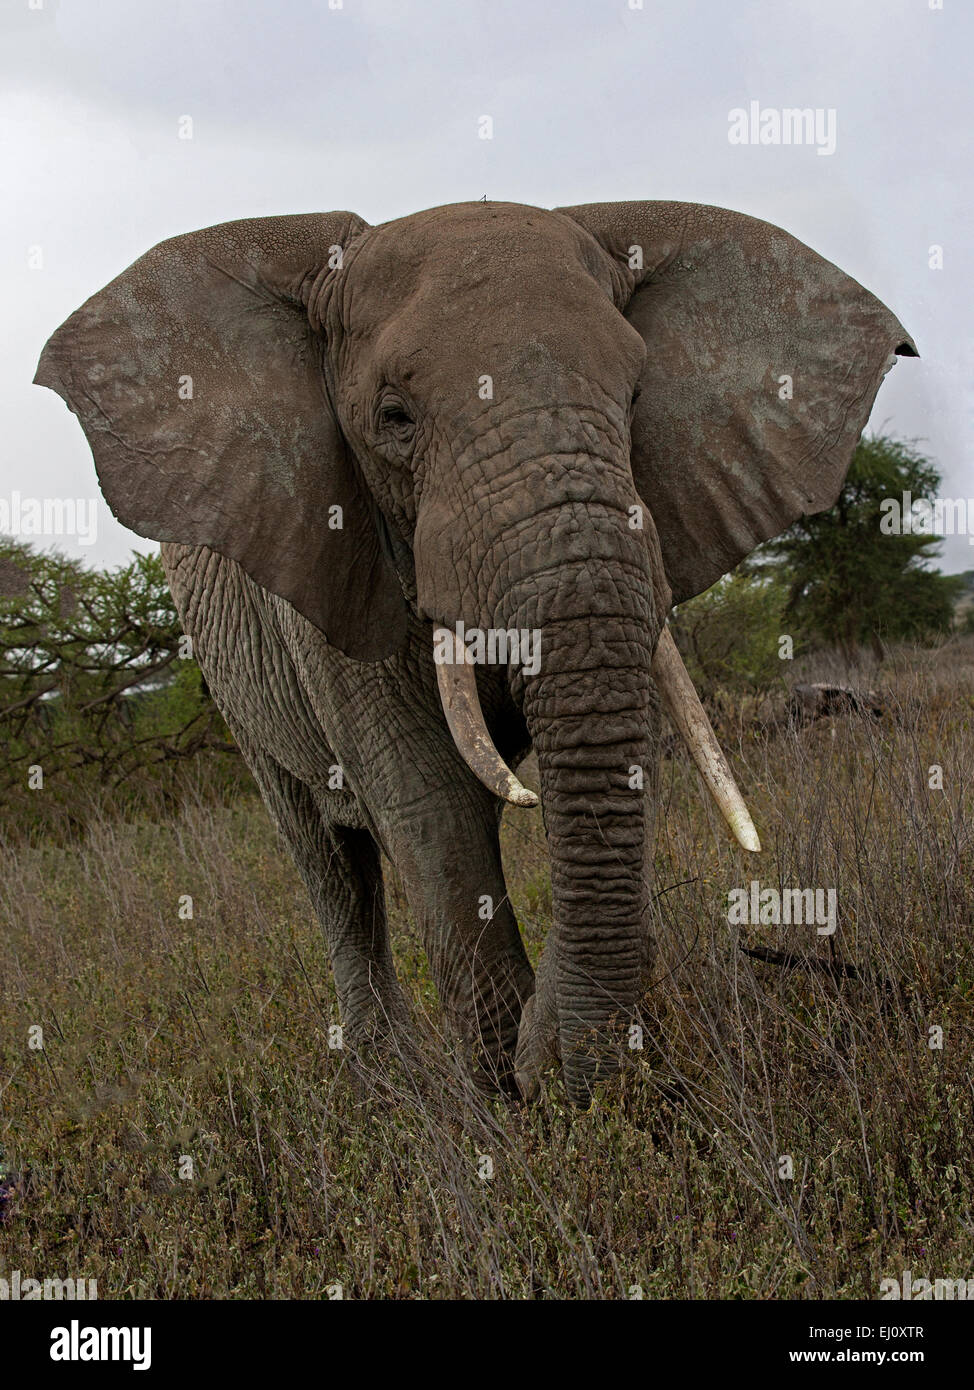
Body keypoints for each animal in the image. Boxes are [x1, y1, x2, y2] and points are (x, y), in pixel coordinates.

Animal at [35, 199, 915, 1104]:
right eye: (394, 418)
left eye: (637, 397)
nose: (551, 1069)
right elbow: (431, 807)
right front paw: (513, 1110)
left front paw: (575, 1066)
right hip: (232, 676)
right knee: (330, 863)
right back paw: (386, 1085)